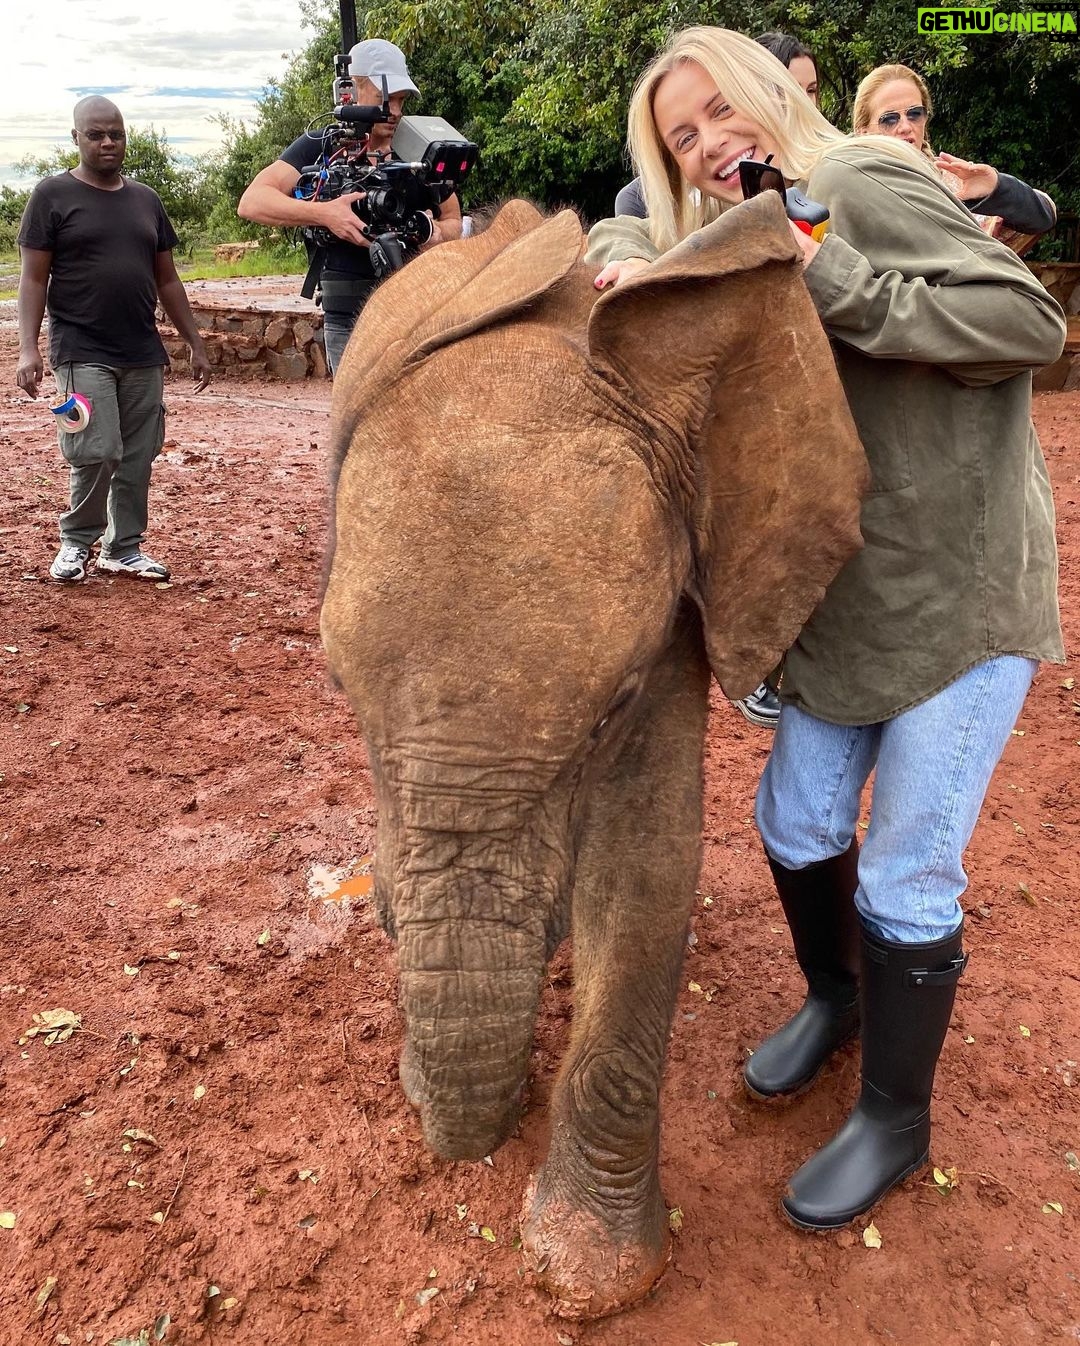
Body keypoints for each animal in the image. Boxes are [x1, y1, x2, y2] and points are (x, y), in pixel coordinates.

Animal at [320, 195, 867, 1319]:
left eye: (610, 706)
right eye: (338, 686)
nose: (458, 1145)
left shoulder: (672, 616)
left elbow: (647, 862)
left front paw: (590, 1278)